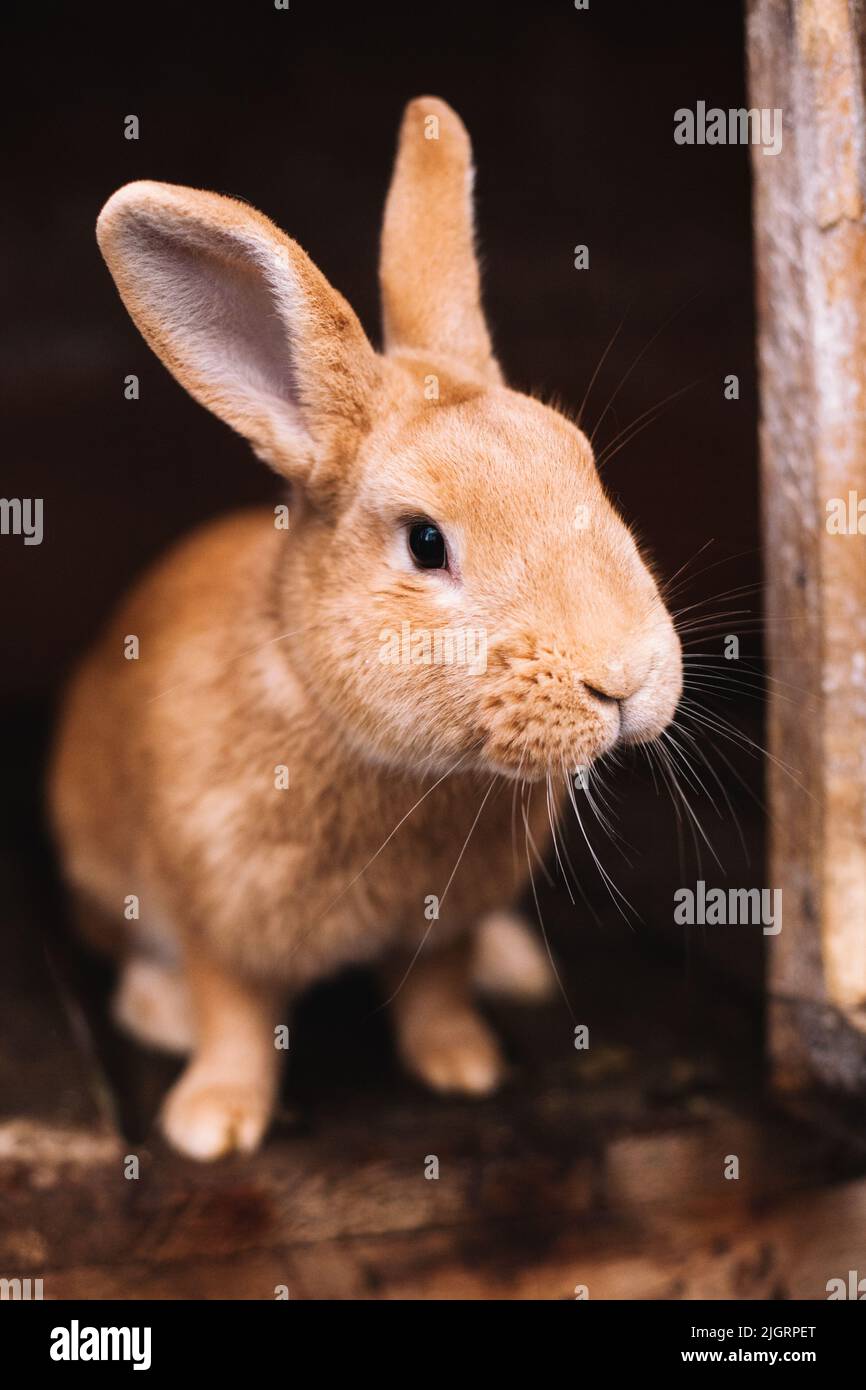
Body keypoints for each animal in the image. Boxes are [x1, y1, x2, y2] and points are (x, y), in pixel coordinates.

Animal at [49, 96, 683, 1161]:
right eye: (426, 543)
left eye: (581, 463)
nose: (627, 676)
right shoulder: (219, 914)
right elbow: (235, 1016)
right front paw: (213, 1124)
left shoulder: (446, 921)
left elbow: (435, 990)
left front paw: (463, 1066)